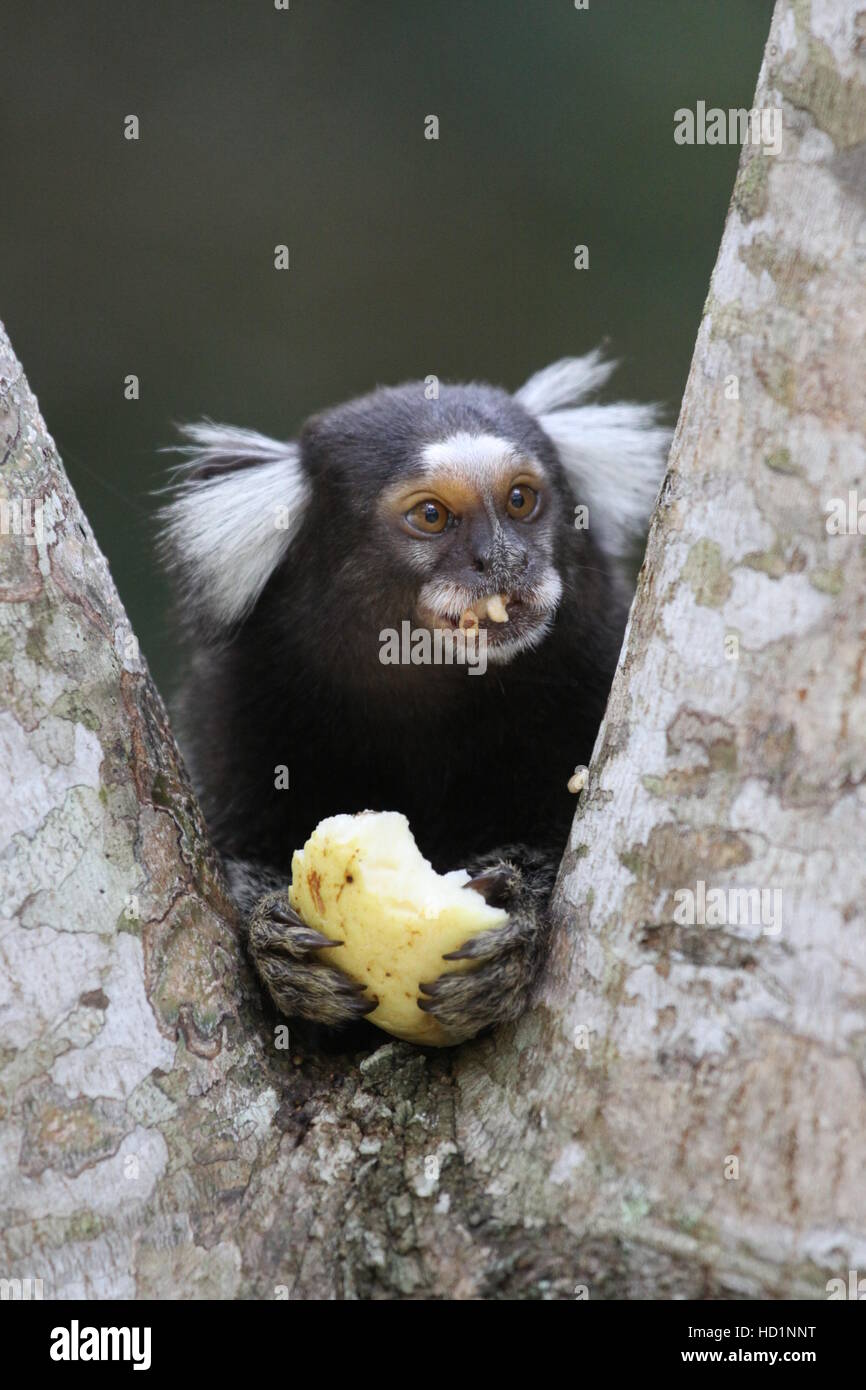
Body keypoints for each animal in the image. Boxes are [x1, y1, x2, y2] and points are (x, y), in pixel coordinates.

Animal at [159, 351, 669, 1043]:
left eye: (520, 500)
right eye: (431, 516)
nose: (504, 559)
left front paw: (514, 923)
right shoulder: (238, 716)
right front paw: (275, 944)